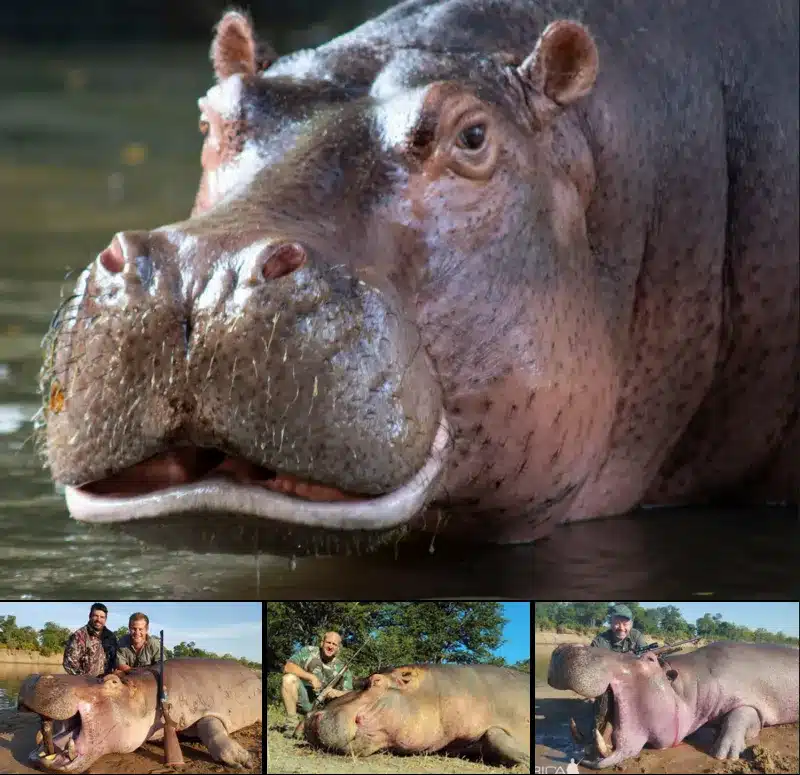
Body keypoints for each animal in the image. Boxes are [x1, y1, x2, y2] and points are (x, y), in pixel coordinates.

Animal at [17, 658, 261, 772]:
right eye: (104, 675)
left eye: (112, 682)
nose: (38, 677)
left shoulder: (201, 709)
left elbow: (210, 726)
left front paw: (244, 761)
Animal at [546, 641, 799, 769]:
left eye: (649, 659)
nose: (566, 647)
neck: (688, 686)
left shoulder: (752, 703)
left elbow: (740, 716)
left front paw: (723, 754)